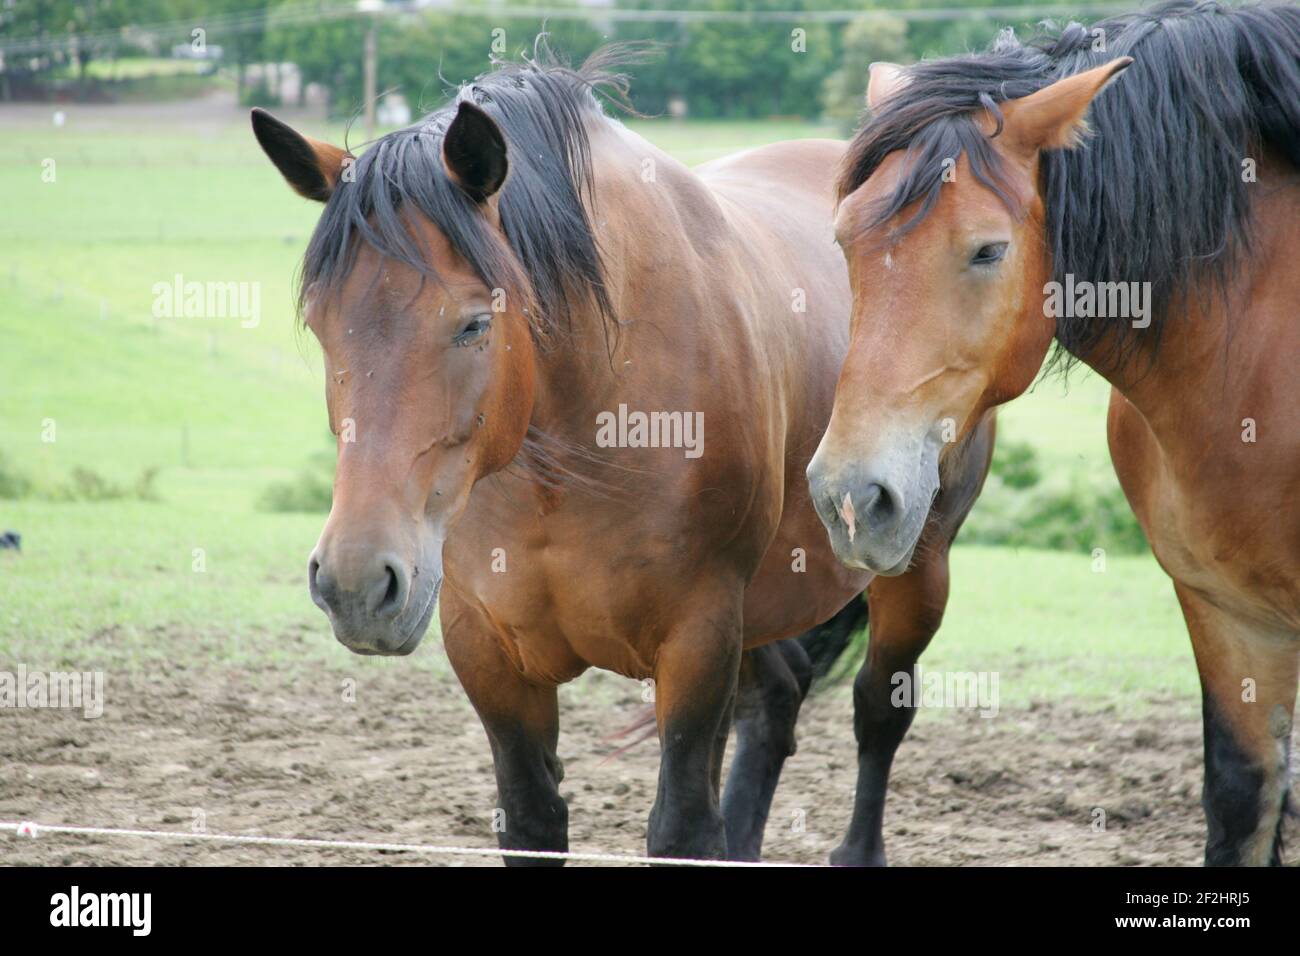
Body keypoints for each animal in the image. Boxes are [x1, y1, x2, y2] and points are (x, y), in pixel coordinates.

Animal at [252, 48, 994, 864]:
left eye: (474, 323)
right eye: (322, 323)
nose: (355, 582)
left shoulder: (698, 636)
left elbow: (681, 828)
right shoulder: (484, 647)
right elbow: (533, 819)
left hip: (914, 562)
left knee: (877, 710)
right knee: (778, 695)